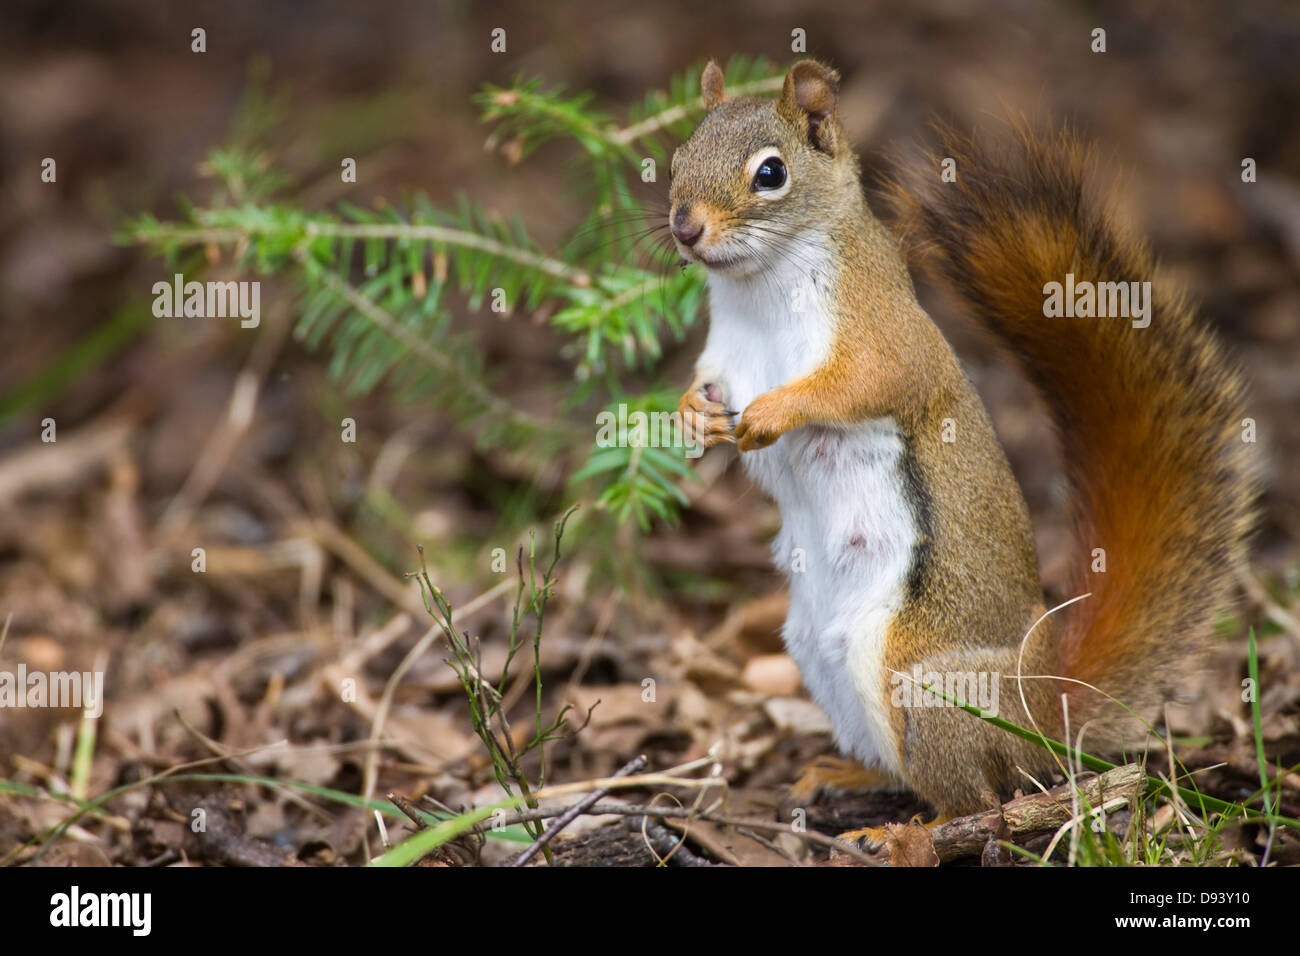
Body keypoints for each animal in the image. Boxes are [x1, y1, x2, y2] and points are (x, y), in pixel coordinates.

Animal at [670, 59, 1256, 823]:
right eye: (675, 157)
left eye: (771, 174)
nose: (683, 228)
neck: (757, 293)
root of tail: (1041, 712)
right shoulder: (725, 358)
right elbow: (705, 384)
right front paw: (690, 415)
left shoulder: (883, 334)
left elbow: (864, 383)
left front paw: (773, 412)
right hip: (818, 657)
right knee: (903, 769)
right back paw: (846, 776)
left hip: (920, 678)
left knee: (976, 797)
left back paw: (904, 835)